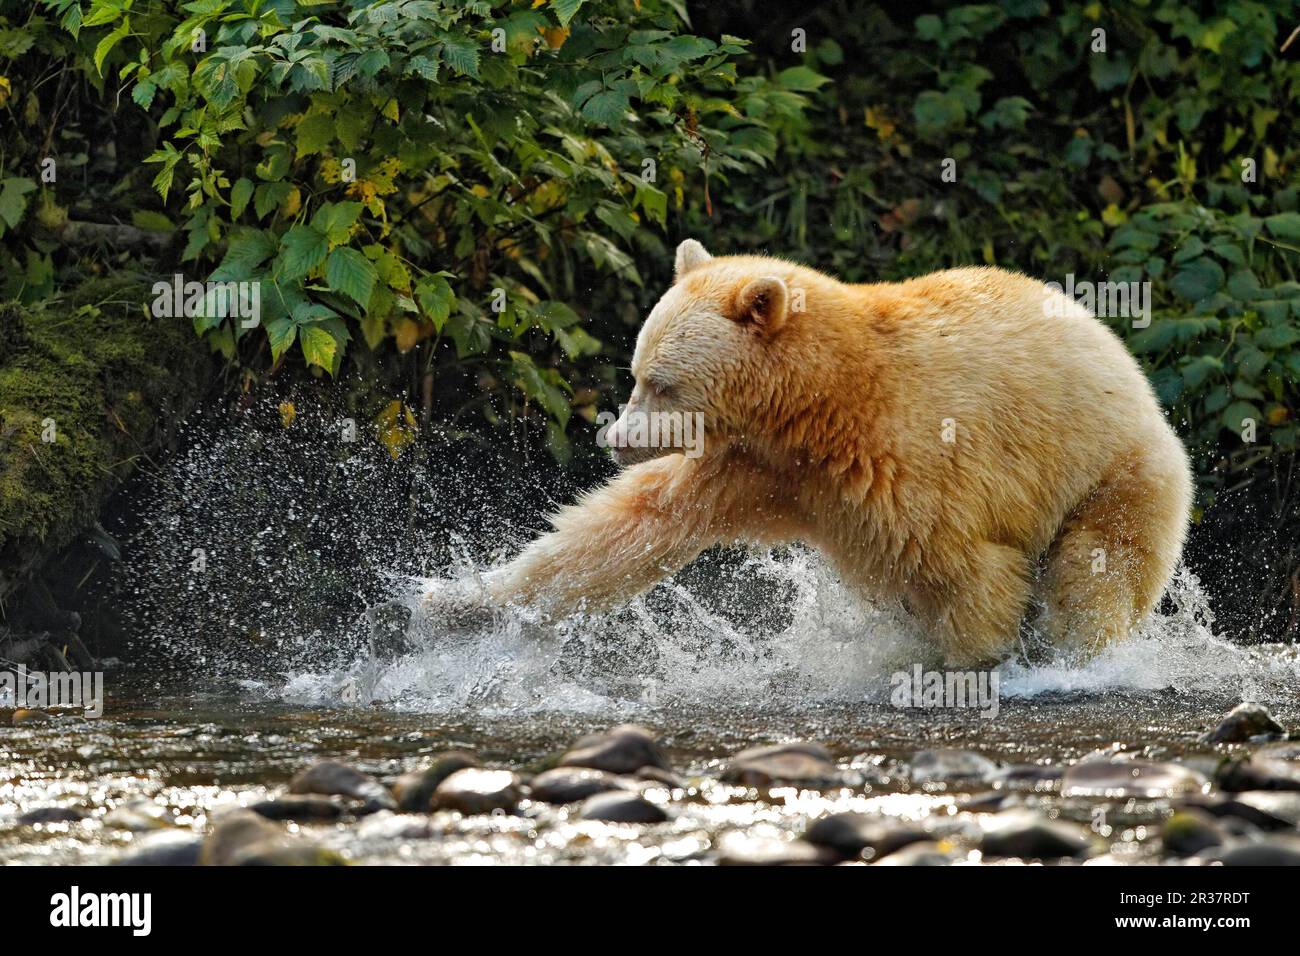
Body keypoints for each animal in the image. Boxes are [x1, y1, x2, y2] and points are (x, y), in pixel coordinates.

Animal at [426, 239, 1193, 665]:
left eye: (662, 383)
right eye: (637, 371)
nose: (615, 441)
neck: (819, 406)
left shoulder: (910, 463)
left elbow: (966, 573)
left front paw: (961, 668)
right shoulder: (758, 467)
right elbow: (629, 528)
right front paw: (455, 604)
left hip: (1113, 477)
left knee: (1093, 576)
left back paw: (1071, 650)